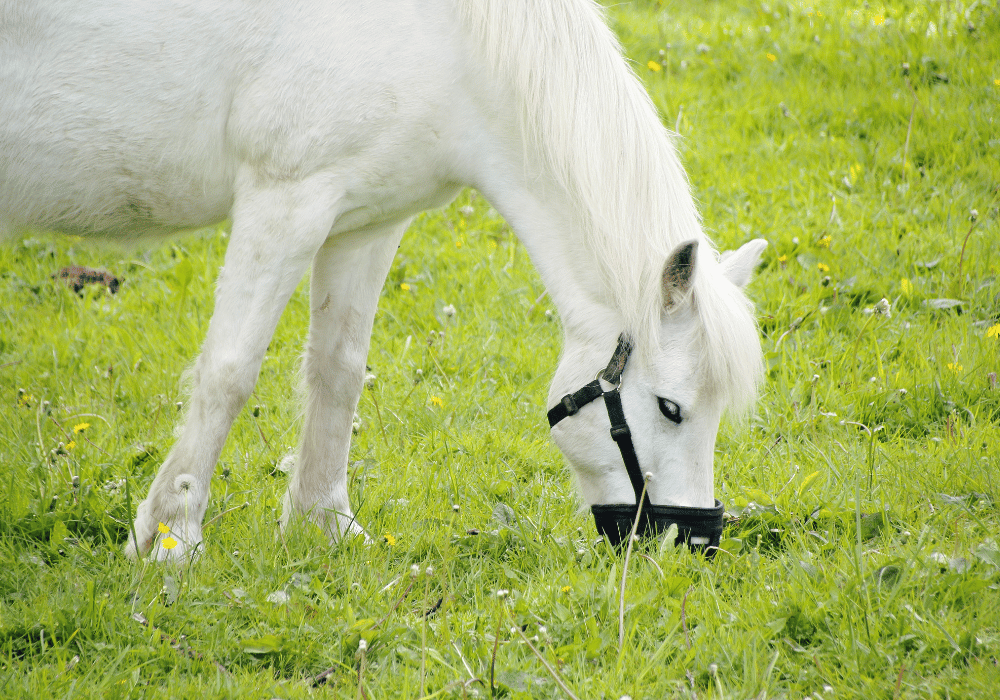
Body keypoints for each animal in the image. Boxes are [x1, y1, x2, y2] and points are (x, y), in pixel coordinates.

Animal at [1, 0, 766, 559]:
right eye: (670, 408)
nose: (694, 541)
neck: (448, 40)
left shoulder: (365, 223)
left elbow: (338, 370)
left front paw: (323, 522)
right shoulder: (286, 202)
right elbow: (228, 373)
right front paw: (169, 538)